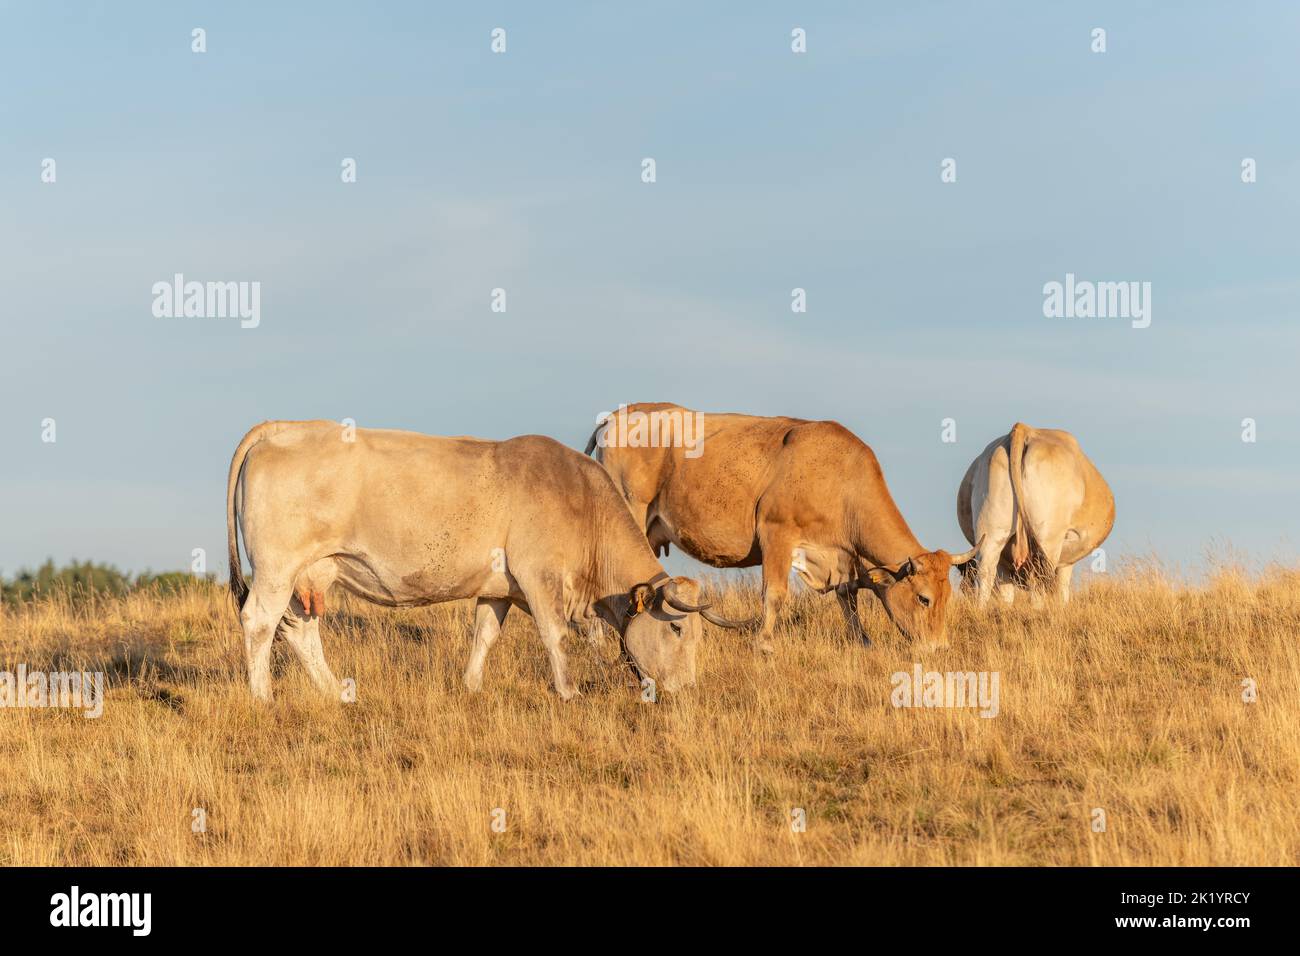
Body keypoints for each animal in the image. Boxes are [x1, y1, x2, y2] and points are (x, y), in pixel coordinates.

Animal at [225, 421, 751, 702]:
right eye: (677, 628)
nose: (688, 690)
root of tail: (285, 428)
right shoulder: (540, 578)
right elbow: (555, 636)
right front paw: (569, 692)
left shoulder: (497, 590)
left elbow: (484, 636)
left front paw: (472, 685)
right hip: (276, 569)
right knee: (259, 622)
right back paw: (262, 696)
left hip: (310, 574)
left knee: (299, 629)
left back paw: (335, 691)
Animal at [584, 404, 978, 651]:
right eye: (924, 598)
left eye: (947, 597)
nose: (939, 648)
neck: (841, 479)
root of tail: (618, 416)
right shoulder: (777, 535)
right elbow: (774, 594)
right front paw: (764, 644)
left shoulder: (838, 554)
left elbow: (847, 596)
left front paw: (863, 641)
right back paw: (598, 641)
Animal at [956, 422, 1115, 605]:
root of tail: (1023, 429)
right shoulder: (1065, 562)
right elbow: (1062, 593)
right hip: (1047, 538)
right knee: (1037, 582)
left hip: (991, 532)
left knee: (986, 574)